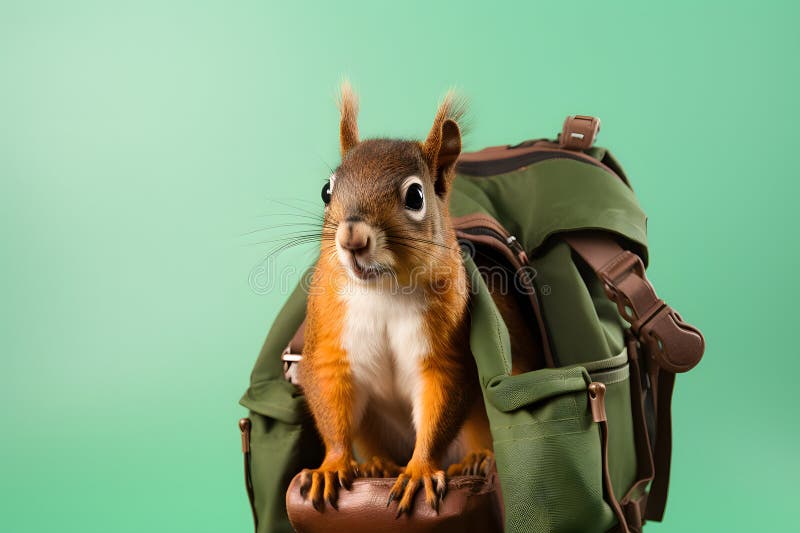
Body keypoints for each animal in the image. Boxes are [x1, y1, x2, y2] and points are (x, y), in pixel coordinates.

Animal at [297, 83, 493, 515]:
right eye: (326, 190)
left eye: (415, 196)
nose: (352, 237)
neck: (383, 290)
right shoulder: (330, 333)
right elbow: (328, 392)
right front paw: (331, 466)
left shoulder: (446, 351)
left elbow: (441, 398)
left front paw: (419, 471)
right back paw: (377, 465)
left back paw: (477, 459)